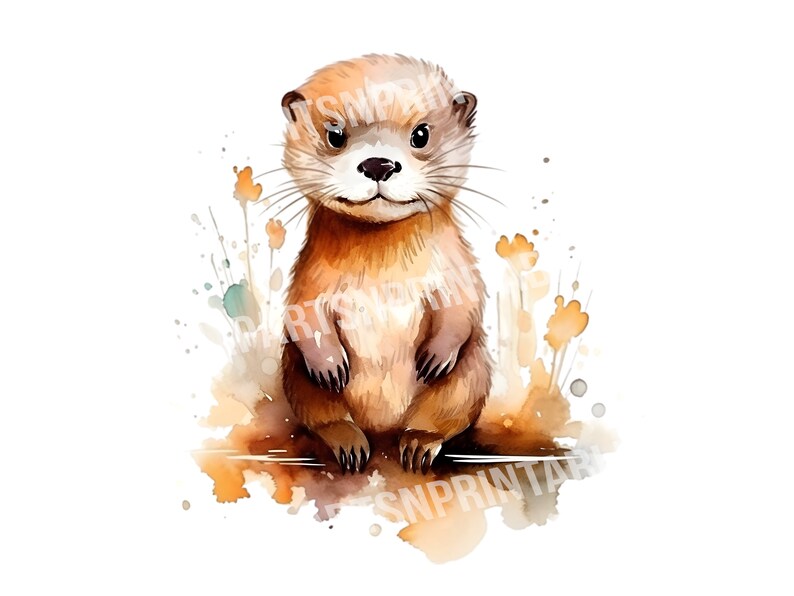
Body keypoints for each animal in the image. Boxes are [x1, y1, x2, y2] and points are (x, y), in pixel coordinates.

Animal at [278, 55, 491, 474]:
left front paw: (435, 357)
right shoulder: (308, 279)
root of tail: (382, 429)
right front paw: (330, 365)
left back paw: (417, 444)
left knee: (439, 419)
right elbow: (302, 314)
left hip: (471, 376)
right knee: (326, 417)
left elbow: (465, 306)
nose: (378, 164)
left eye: (421, 135)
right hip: (294, 374)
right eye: (336, 135)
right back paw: (350, 445)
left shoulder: (457, 269)